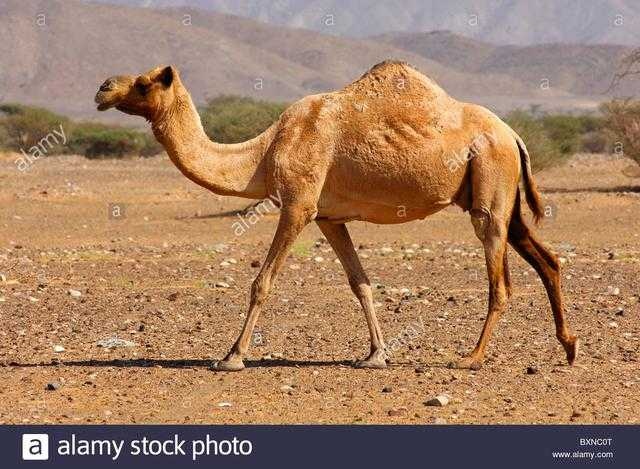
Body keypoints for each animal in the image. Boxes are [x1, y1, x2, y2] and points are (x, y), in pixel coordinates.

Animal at [95, 61, 578, 371]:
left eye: (144, 83)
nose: (102, 88)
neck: (265, 151)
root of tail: (513, 134)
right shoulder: (330, 218)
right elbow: (360, 283)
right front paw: (376, 355)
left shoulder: (298, 204)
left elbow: (262, 282)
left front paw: (231, 357)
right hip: (502, 193)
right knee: (546, 257)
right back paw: (569, 346)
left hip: (490, 182)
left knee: (501, 277)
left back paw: (472, 358)